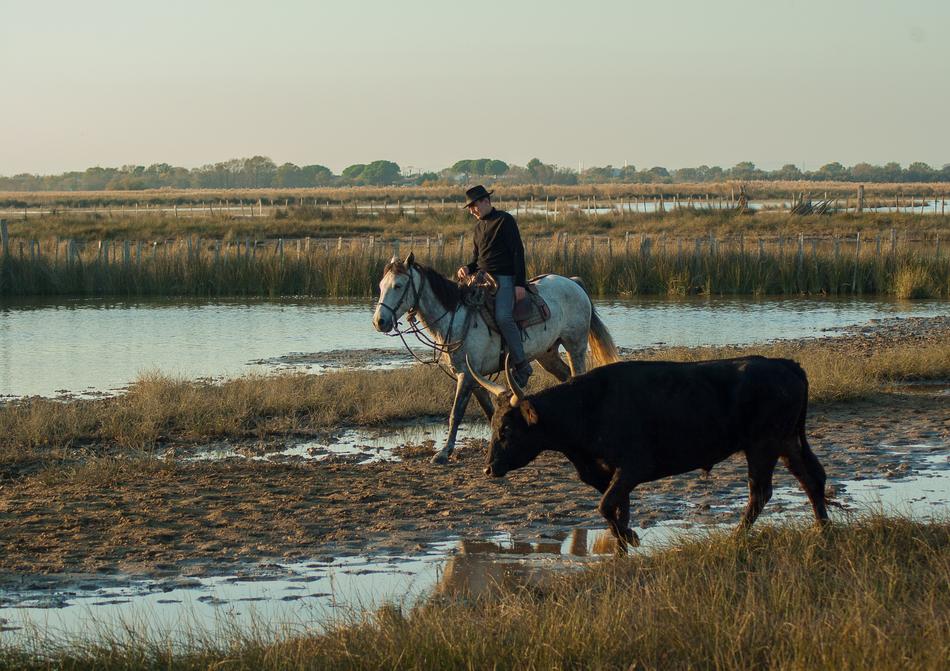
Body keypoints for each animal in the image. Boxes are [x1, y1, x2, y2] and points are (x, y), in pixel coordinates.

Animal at [468, 355, 829, 553]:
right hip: (786, 442)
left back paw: (737, 536)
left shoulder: (634, 467)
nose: (488, 469)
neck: (588, 406)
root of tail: (786, 364)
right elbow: (617, 508)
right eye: (493, 425)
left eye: (507, 429)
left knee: (761, 492)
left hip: (763, 446)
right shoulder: (610, 474)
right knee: (811, 478)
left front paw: (630, 538)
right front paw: (623, 543)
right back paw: (822, 528)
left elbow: (605, 506)